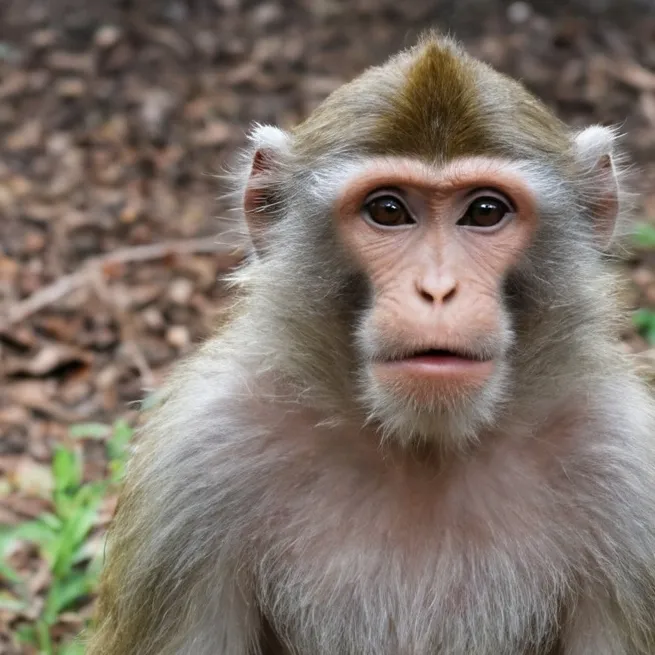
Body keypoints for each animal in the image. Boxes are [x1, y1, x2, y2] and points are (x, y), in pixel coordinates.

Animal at [86, 31, 655, 655]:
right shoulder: (197, 462)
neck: (423, 452)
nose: (437, 289)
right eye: (388, 209)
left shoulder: (627, 470)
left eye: (485, 211)